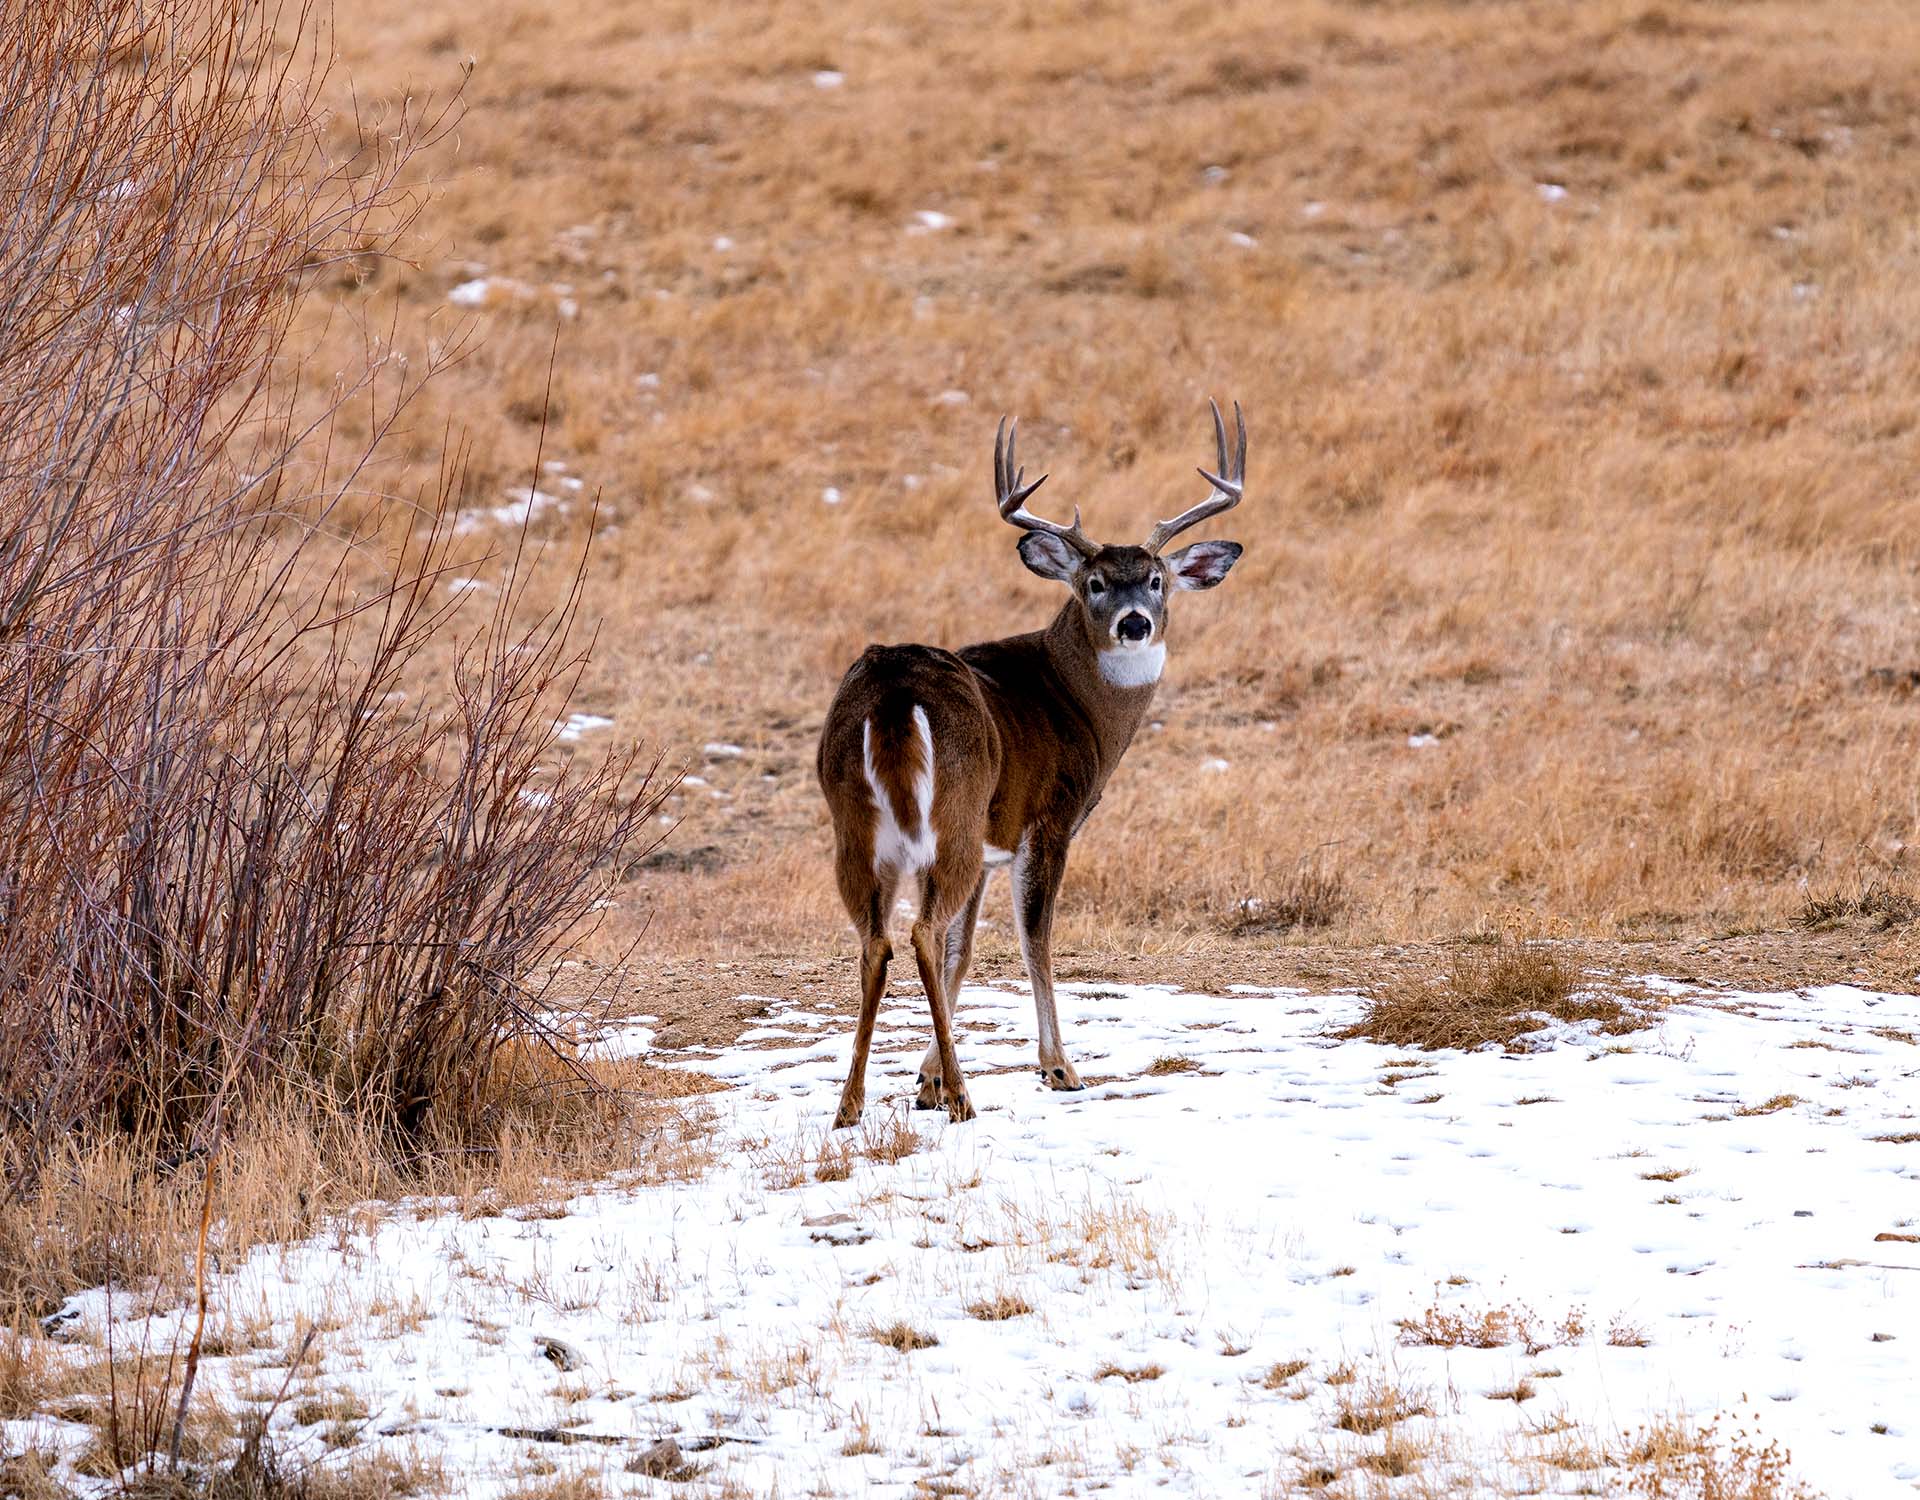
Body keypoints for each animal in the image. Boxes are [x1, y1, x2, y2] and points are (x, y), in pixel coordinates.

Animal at [817, 400, 1247, 1126]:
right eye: (1094, 582)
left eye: (1156, 580)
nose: (1135, 622)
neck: (1076, 703)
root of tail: (894, 692)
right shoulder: (1047, 819)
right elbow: (1033, 938)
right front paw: (1056, 1068)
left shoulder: (992, 848)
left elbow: (964, 953)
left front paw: (925, 1081)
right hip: (954, 814)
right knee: (921, 932)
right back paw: (965, 1099)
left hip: (857, 823)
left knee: (878, 939)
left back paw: (851, 1104)